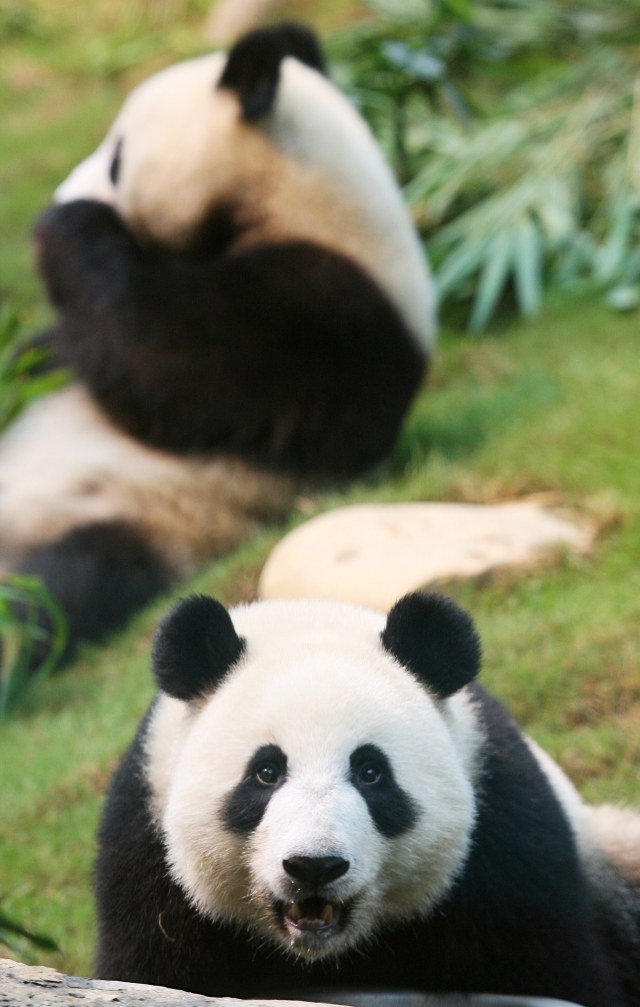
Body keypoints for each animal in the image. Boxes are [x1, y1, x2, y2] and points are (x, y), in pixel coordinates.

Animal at [0, 22, 435, 660]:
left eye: (118, 159)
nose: (59, 191)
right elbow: (65, 351)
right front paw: (21, 360)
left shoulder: (325, 317)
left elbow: (171, 362)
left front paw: (66, 223)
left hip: (133, 513)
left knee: (60, 587)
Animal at [94, 591, 640, 1006]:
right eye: (266, 772)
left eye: (371, 772)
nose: (314, 866)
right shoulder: (145, 861)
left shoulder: (509, 846)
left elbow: (558, 968)